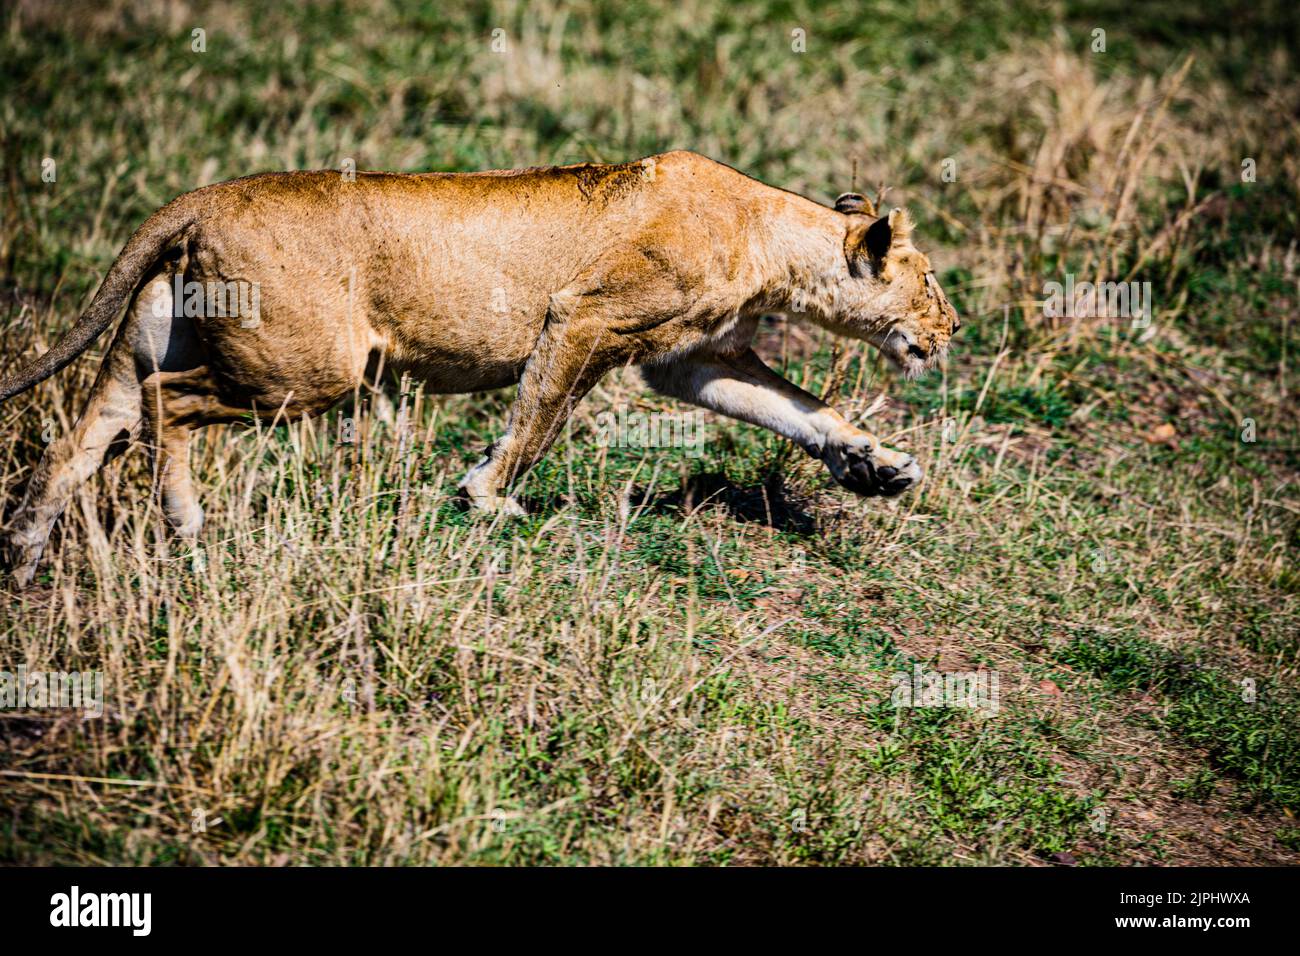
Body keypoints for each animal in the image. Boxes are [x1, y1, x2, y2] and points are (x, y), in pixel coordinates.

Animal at [0, 150, 959, 586]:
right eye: (931, 282)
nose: (953, 329)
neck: (768, 235)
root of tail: (201, 200)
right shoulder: (584, 317)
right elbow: (538, 419)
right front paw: (489, 495)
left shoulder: (694, 361)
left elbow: (800, 408)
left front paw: (878, 466)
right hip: (310, 369)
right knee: (169, 407)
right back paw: (187, 528)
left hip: (151, 343)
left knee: (78, 442)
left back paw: (25, 557)